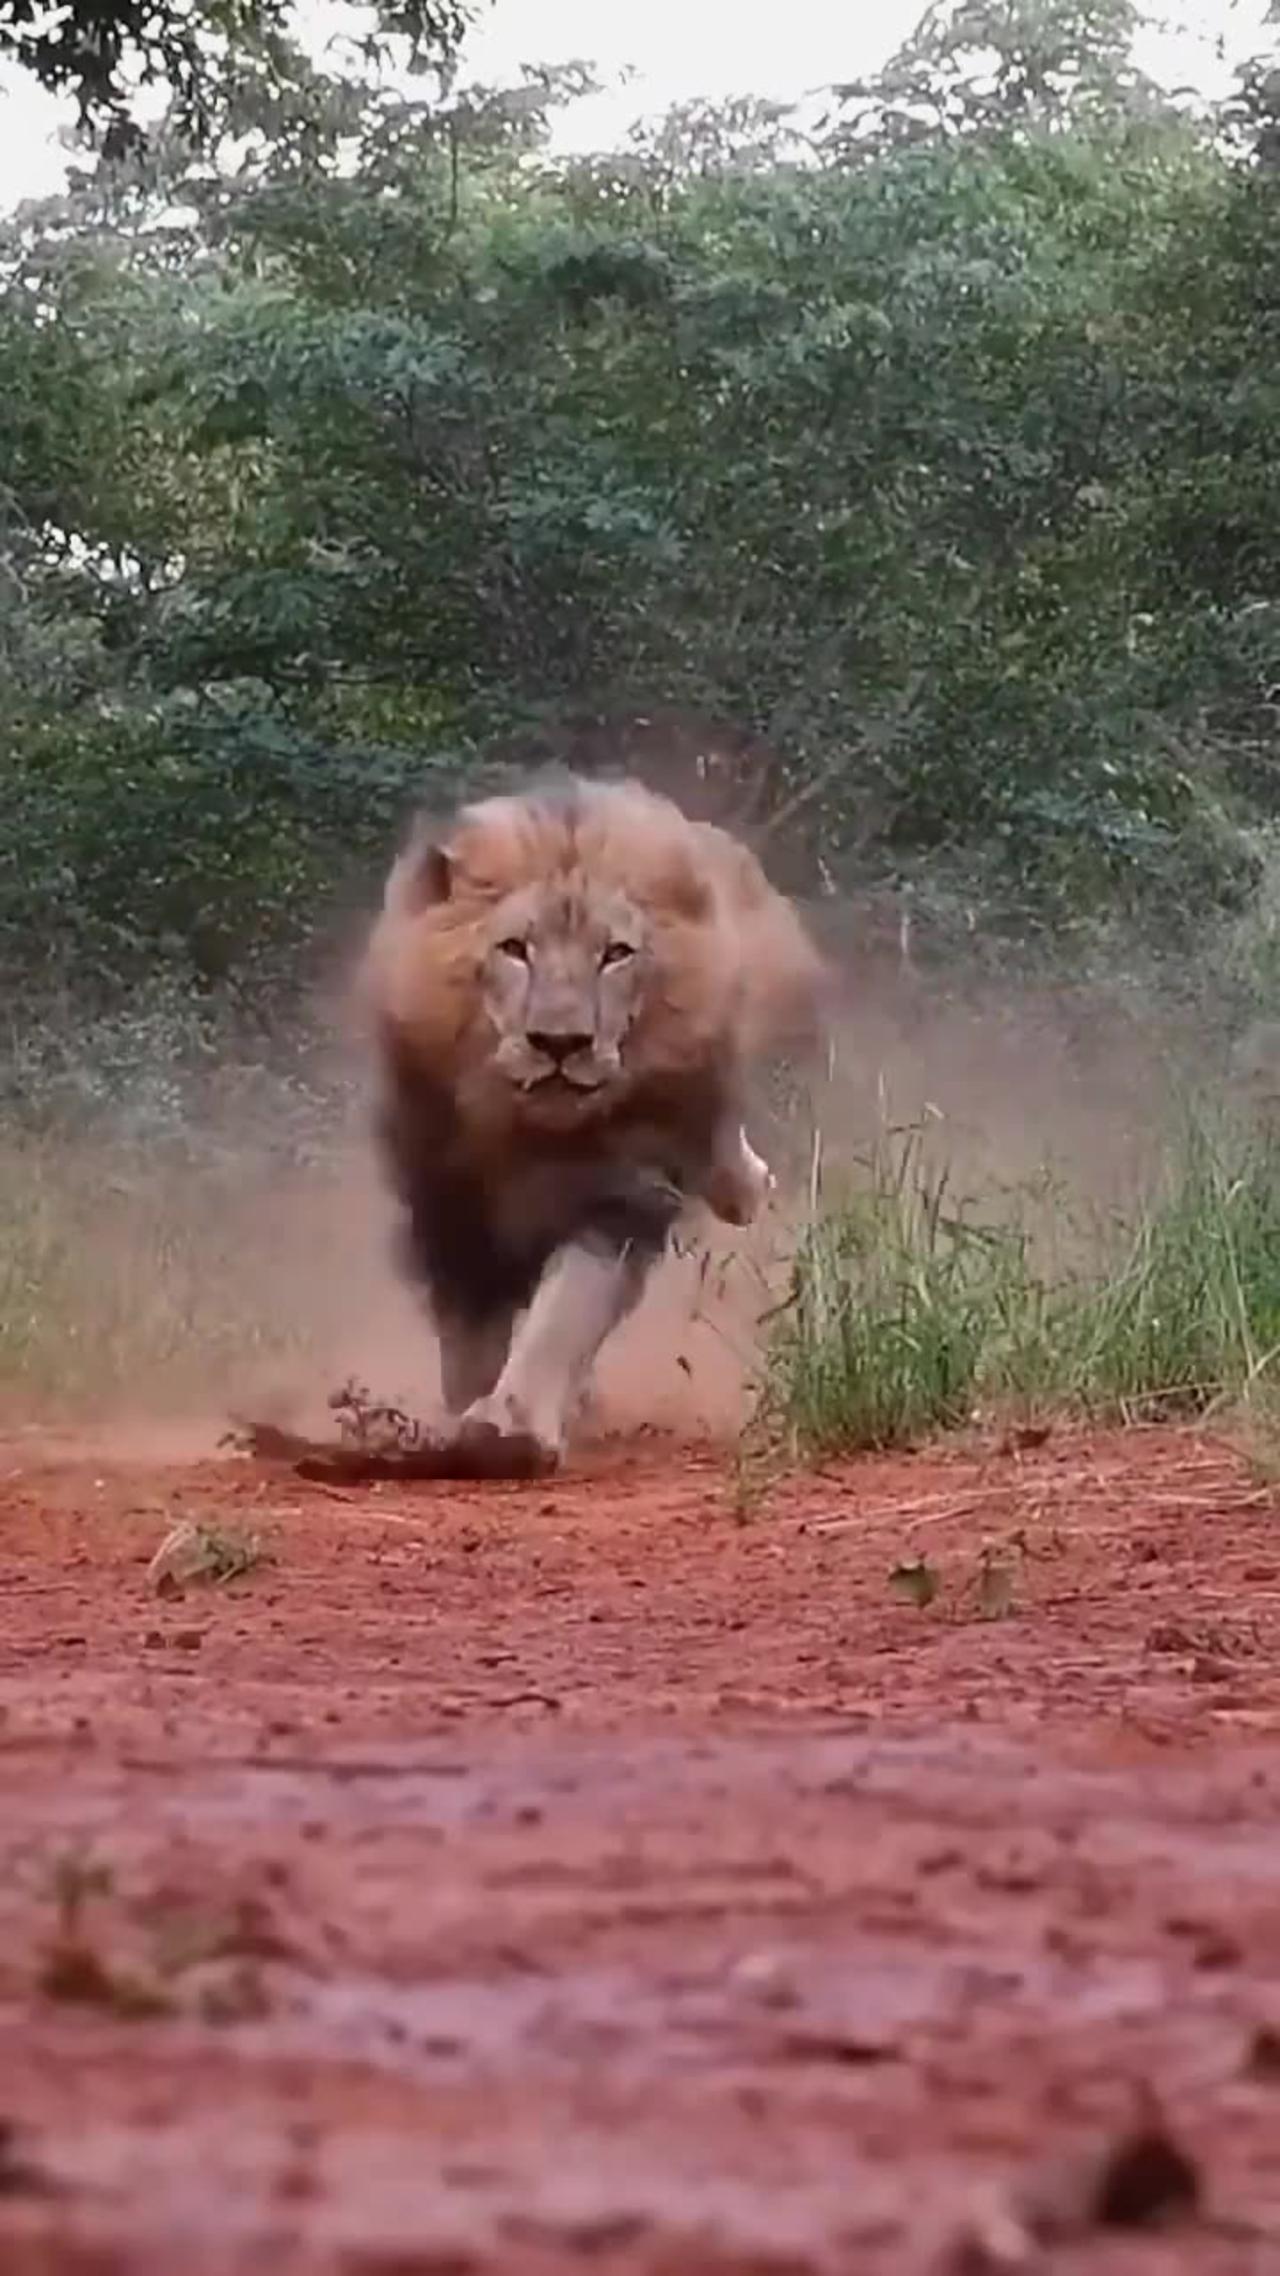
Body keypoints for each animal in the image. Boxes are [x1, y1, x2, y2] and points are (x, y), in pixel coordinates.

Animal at [361, 773, 824, 1475]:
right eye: (514, 950)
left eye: (615, 954)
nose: (560, 1043)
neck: (532, 1133)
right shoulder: (449, 1208)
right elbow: (471, 1337)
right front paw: (471, 1415)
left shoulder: (621, 1197)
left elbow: (565, 1313)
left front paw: (511, 1426)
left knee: (720, 1140)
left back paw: (744, 1188)